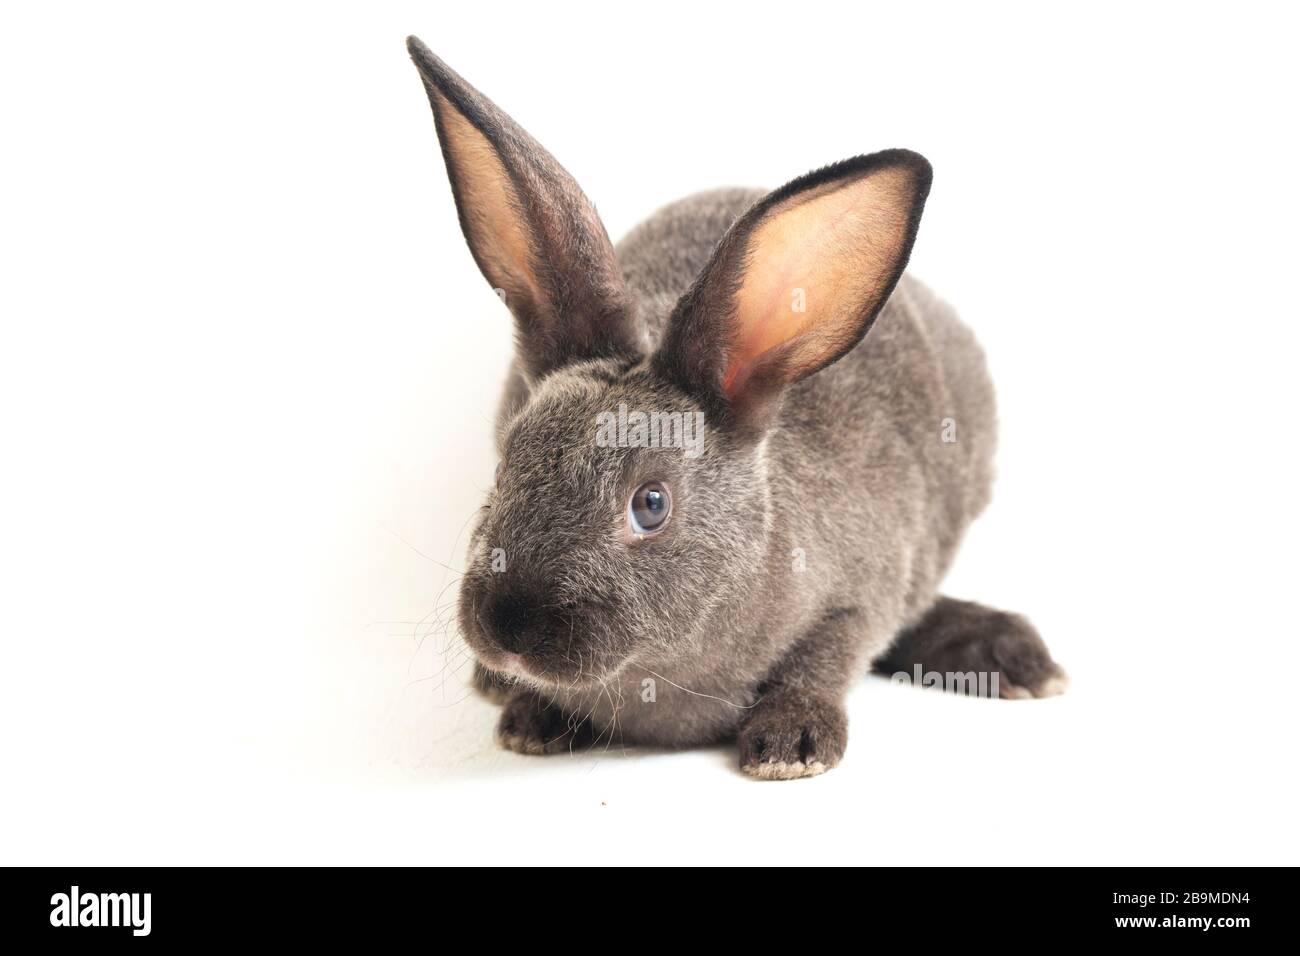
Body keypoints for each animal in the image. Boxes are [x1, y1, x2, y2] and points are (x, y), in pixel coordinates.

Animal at [407, 36, 1067, 779]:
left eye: (651, 504)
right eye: (504, 468)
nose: (508, 628)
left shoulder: (858, 598)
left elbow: (826, 659)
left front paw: (792, 744)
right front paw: (530, 719)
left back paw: (1014, 657)